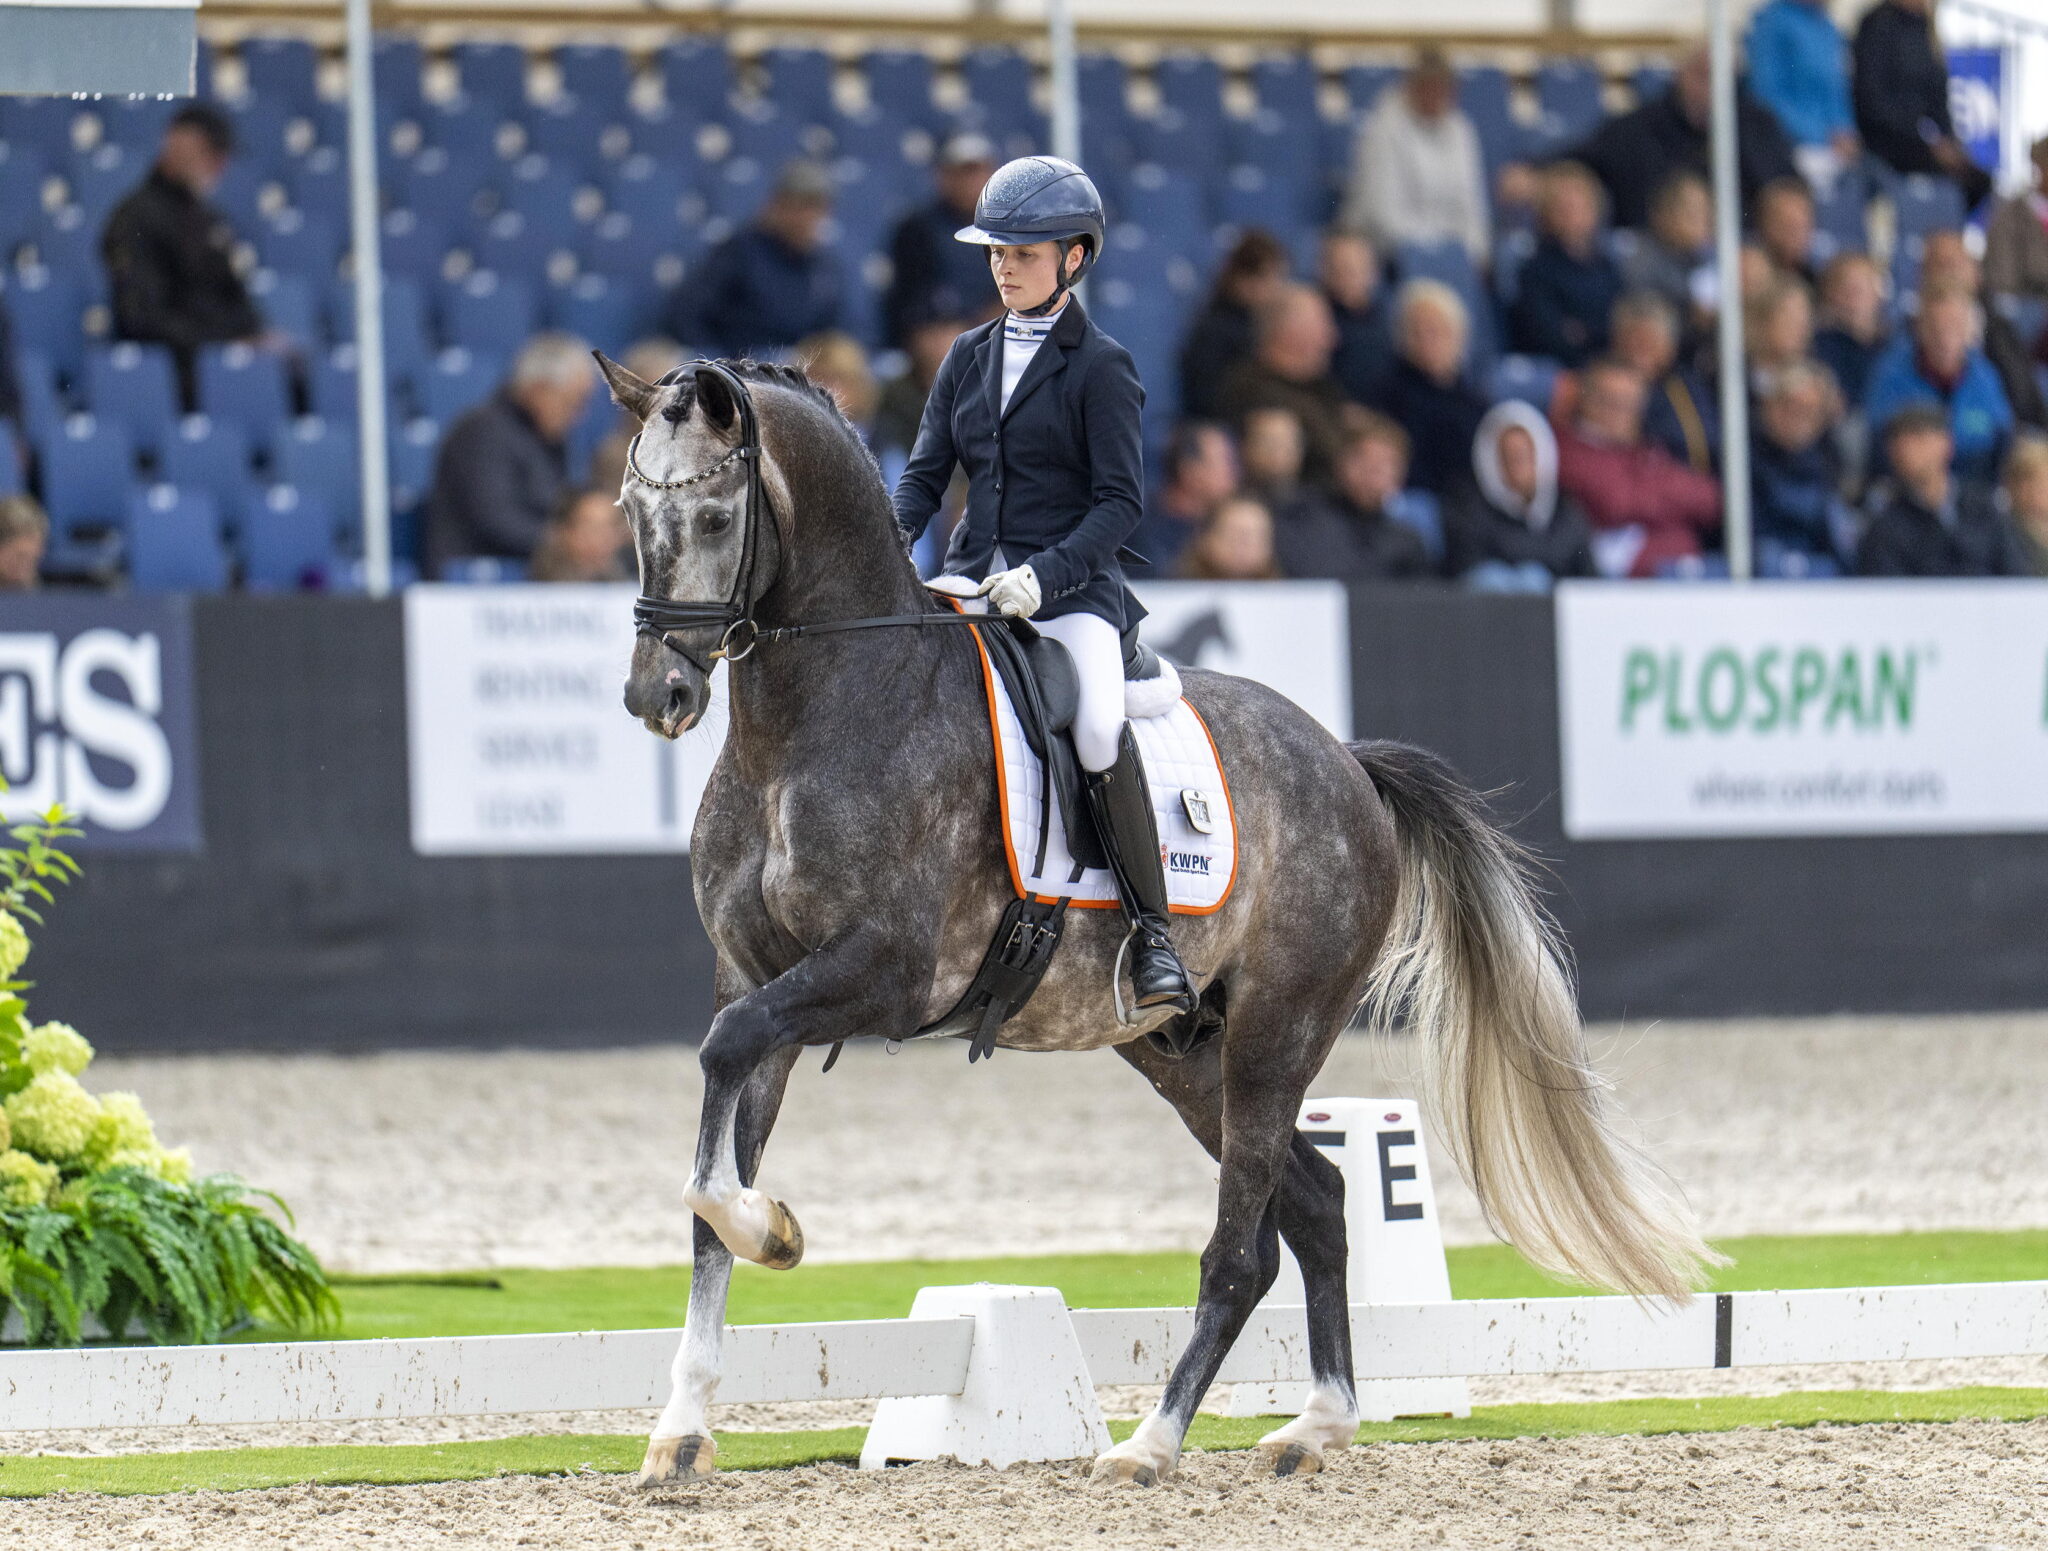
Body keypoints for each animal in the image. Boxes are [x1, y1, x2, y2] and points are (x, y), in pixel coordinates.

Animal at [597, 352, 1719, 1489]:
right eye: (631, 514)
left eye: (715, 516)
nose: (658, 696)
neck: (812, 718)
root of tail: (1347, 762)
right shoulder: (756, 975)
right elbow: (711, 1165)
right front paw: (681, 1427)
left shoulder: (884, 971)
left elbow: (721, 1088)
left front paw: (772, 1229)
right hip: (1184, 1053)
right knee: (1317, 1202)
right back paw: (1315, 1423)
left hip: (1276, 1034)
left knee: (1243, 1248)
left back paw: (1153, 1441)